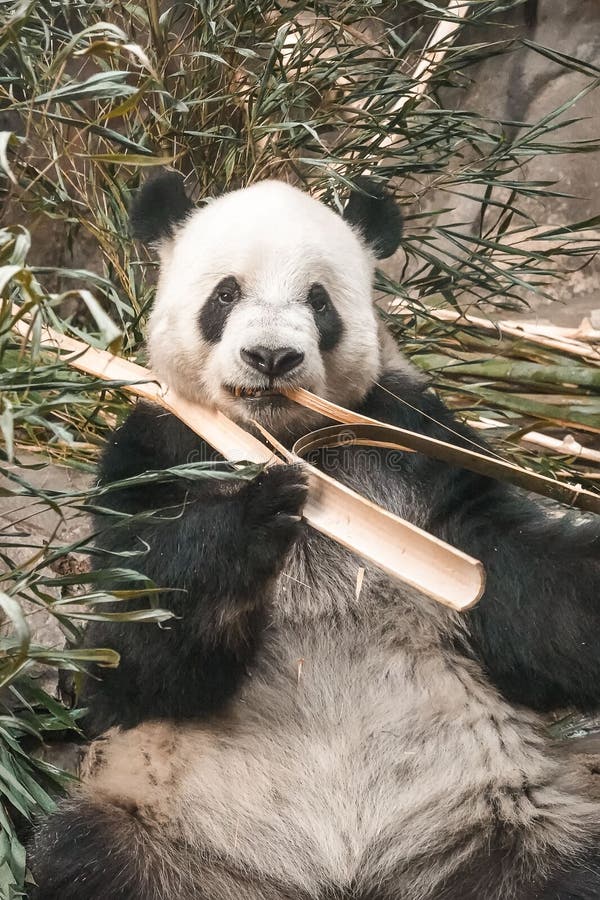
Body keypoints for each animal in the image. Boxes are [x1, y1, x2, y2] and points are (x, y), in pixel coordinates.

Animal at [29, 173, 600, 899]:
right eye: (226, 294)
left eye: (319, 300)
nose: (272, 357)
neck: (291, 436)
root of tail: (341, 879)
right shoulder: (155, 448)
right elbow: (135, 649)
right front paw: (254, 513)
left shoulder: (411, 444)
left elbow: (517, 588)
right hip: (165, 828)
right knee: (87, 857)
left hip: (501, 812)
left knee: (568, 866)